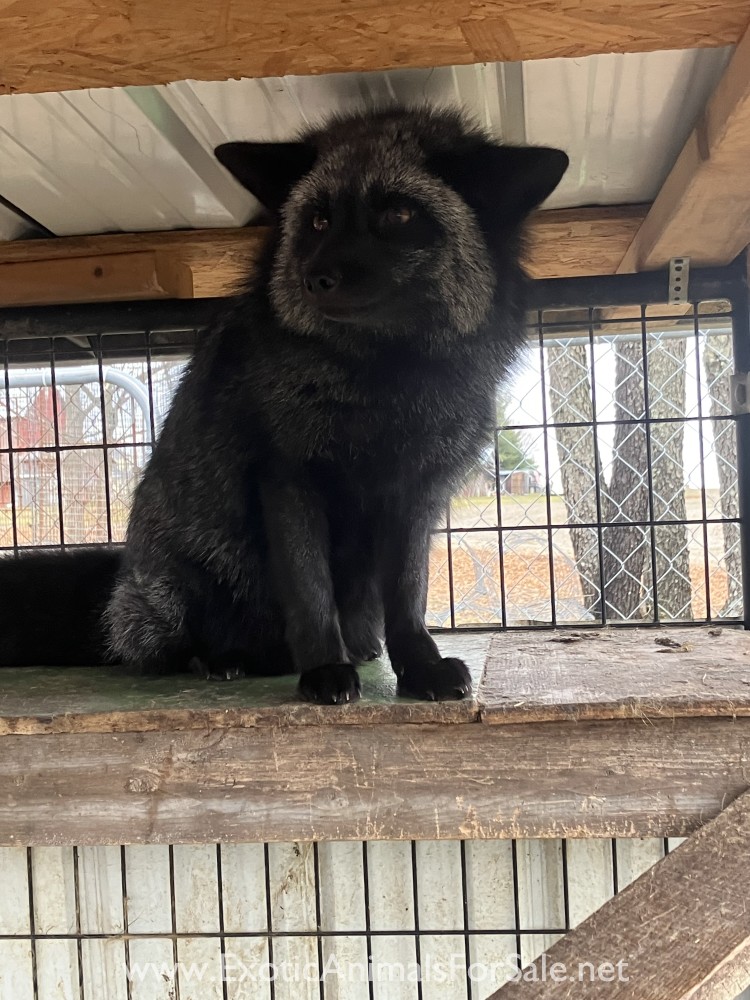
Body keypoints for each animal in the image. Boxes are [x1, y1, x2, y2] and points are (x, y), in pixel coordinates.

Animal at [0, 107, 567, 704]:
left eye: (400, 213)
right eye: (317, 220)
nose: (315, 277)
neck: (383, 380)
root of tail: (126, 571)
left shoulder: (415, 492)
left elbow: (409, 596)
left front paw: (419, 666)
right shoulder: (287, 477)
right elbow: (311, 591)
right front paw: (324, 669)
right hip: (177, 592)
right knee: (166, 647)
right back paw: (225, 659)